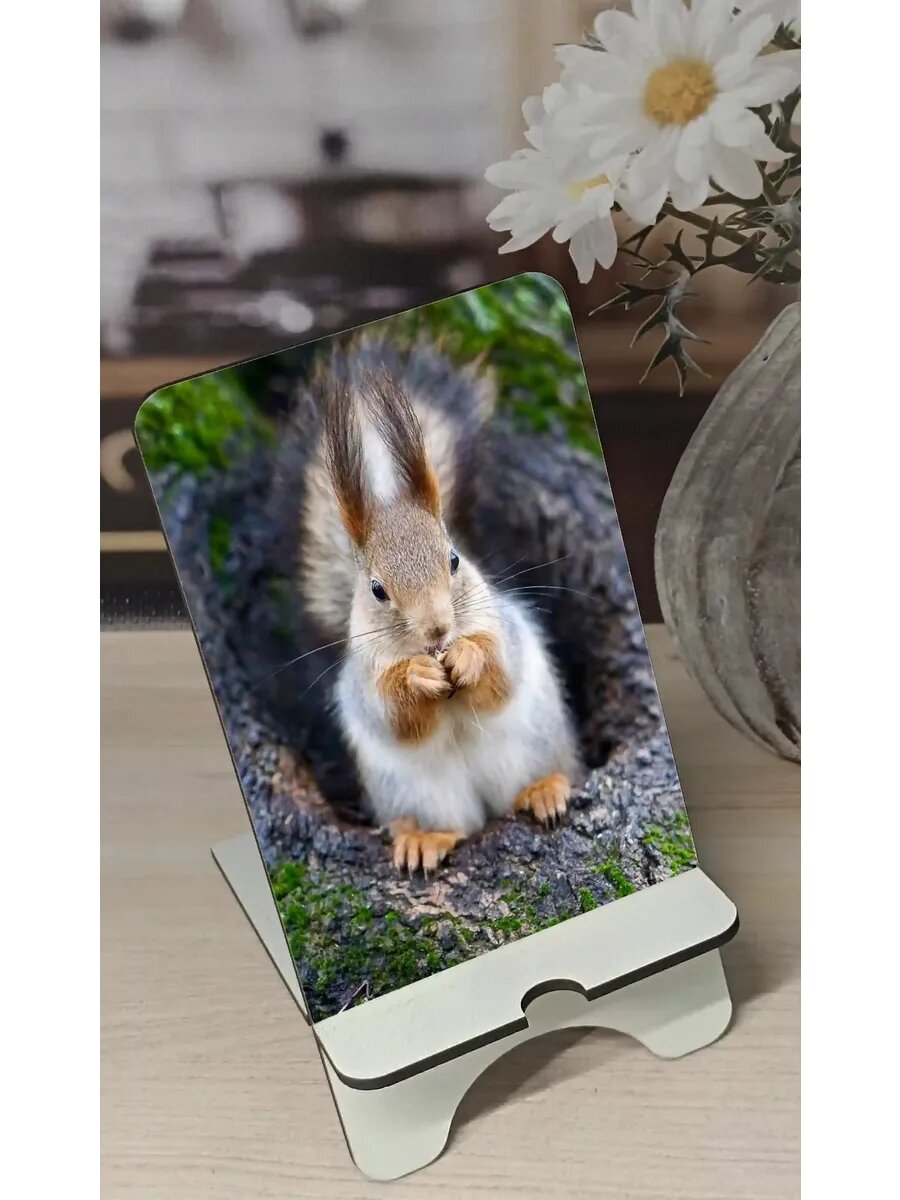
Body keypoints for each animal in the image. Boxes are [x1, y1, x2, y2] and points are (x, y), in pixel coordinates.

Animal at [298, 342, 580, 873]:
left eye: (453, 559)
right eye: (376, 590)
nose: (436, 630)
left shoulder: (504, 629)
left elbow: (498, 673)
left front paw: (468, 657)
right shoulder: (364, 680)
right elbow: (395, 713)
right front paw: (417, 677)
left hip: (534, 744)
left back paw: (544, 790)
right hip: (418, 792)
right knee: (451, 825)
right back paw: (426, 838)